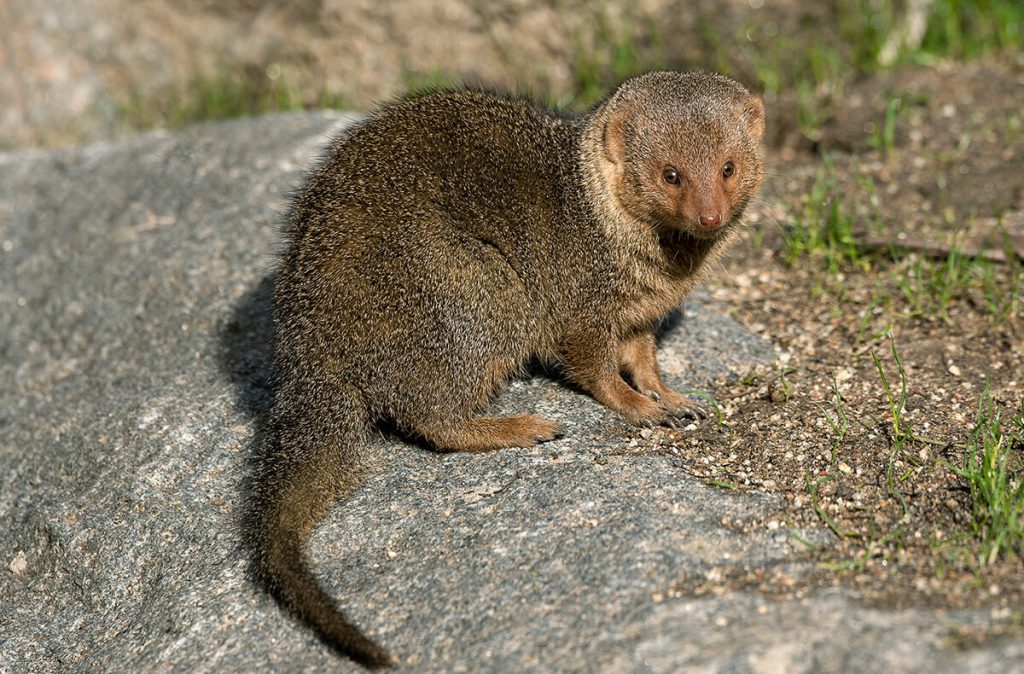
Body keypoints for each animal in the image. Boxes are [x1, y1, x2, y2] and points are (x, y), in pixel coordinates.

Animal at [249, 71, 765, 668]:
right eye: (671, 174)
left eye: (728, 167)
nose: (710, 216)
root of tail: (310, 345)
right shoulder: (576, 301)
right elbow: (595, 366)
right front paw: (637, 407)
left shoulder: (637, 313)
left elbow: (643, 357)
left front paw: (672, 398)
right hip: (479, 285)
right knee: (432, 417)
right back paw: (519, 427)